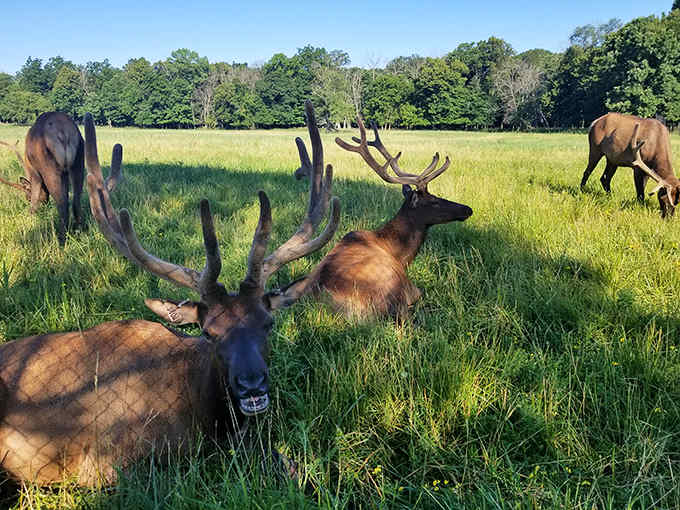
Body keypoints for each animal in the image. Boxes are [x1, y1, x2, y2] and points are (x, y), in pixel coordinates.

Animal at [0, 112, 85, 245]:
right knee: (76, 200)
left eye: (27, 196)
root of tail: (63, 132)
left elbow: (34, 200)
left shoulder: (34, 173)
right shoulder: (65, 174)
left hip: (47, 165)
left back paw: (62, 240)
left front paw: (30, 218)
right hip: (79, 159)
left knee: (62, 204)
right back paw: (78, 232)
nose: (43, 207)